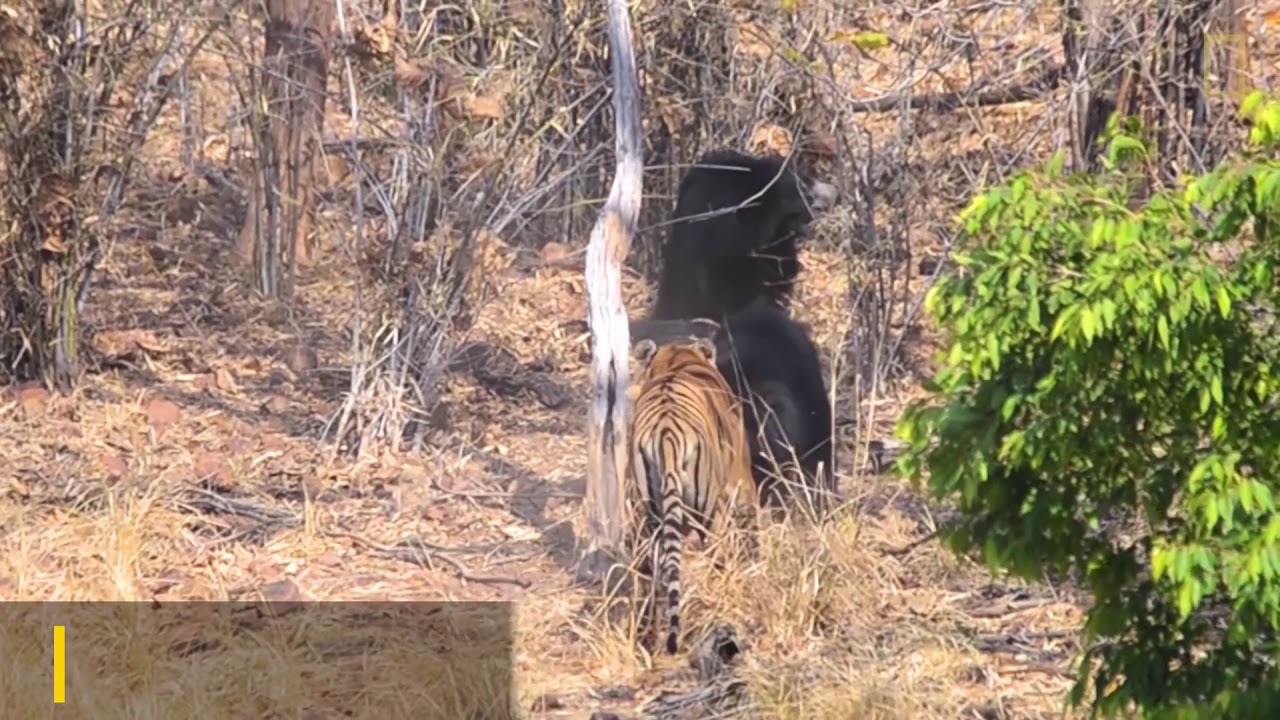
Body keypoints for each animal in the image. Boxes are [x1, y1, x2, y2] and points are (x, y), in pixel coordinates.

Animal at [627, 336, 757, 655]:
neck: (676, 358)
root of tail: (666, 434)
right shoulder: (742, 485)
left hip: (646, 518)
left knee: (651, 574)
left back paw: (649, 638)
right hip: (711, 511)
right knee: (717, 556)